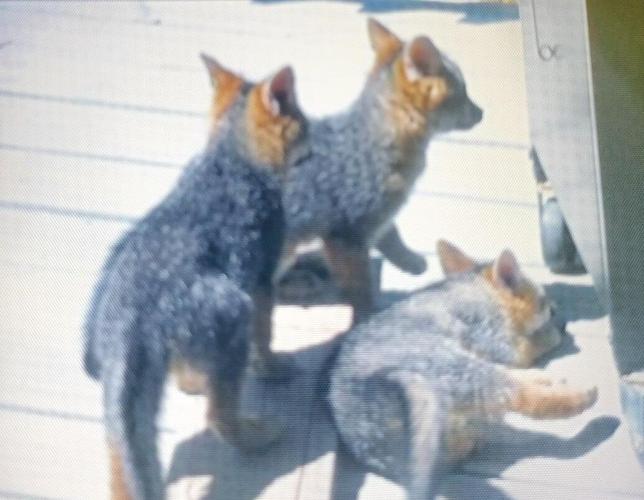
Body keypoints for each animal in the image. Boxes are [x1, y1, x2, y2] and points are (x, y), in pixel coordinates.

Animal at [83, 57, 309, 500]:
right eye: (307, 125)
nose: (315, 149)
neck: (228, 160)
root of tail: (127, 314)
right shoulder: (260, 281)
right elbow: (265, 338)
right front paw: (272, 367)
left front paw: (191, 380)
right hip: (235, 308)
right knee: (218, 417)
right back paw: (256, 438)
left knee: (122, 471)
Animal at [280, 19, 483, 324]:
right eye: (464, 93)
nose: (482, 112)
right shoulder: (346, 236)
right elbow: (360, 287)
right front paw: (366, 317)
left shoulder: (375, 217)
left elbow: (390, 232)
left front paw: (409, 260)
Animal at [328, 240, 597, 499]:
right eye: (549, 308)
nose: (564, 321)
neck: (477, 291)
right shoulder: (499, 342)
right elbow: (536, 343)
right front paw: (553, 334)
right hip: (464, 369)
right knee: (522, 395)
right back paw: (581, 397)